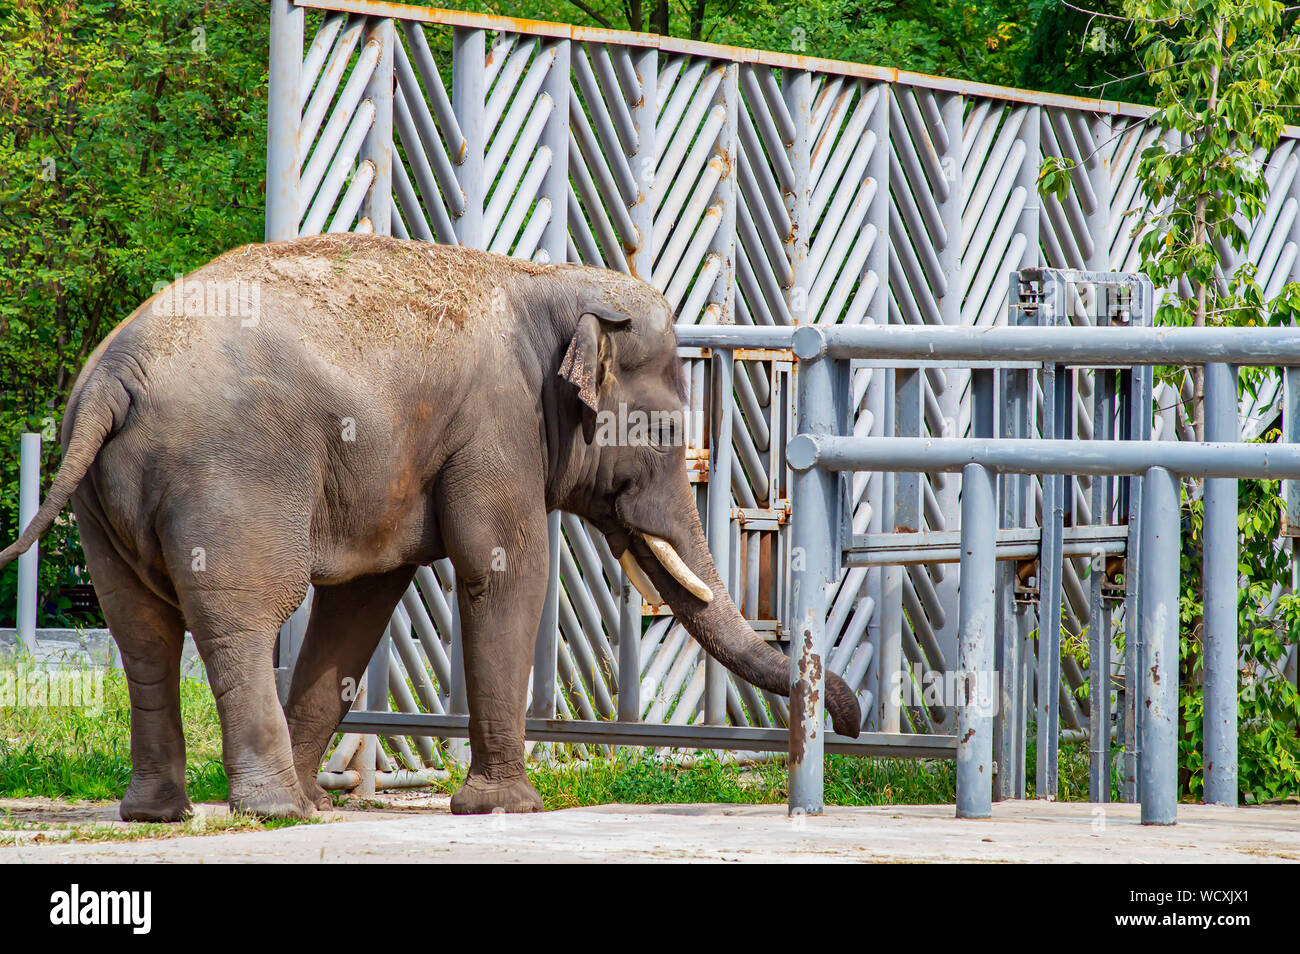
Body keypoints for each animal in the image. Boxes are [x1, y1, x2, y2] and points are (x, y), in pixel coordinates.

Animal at [0, 233, 860, 819]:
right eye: (665, 429)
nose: (848, 721)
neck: (541, 280)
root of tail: (112, 378)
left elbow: (363, 602)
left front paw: (332, 797)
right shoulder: (499, 428)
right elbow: (505, 571)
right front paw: (507, 809)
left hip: (101, 497)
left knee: (140, 630)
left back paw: (165, 812)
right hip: (228, 475)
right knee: (244, 613)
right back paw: (275, 811)